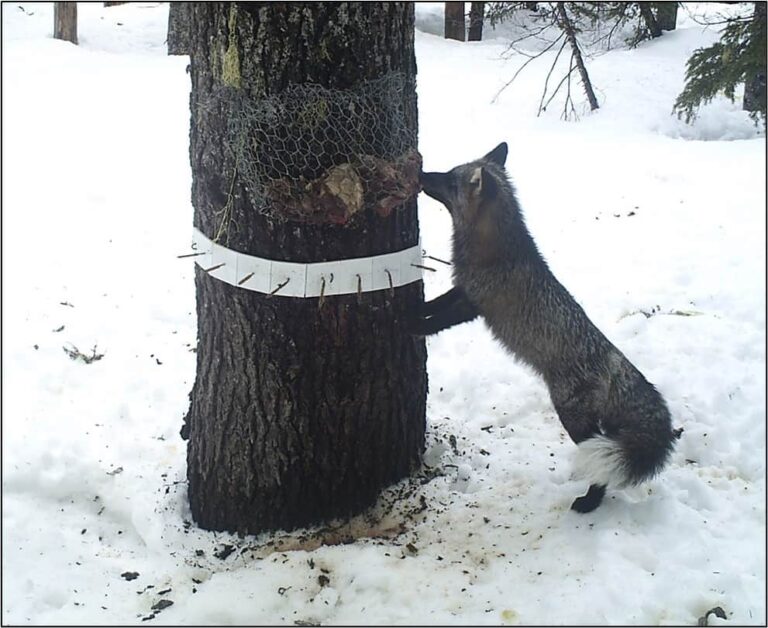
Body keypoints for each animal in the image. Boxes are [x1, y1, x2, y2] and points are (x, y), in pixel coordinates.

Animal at [413, 142, 679, 513]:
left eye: (450, 181)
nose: (421, 173)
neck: (496, 251)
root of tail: (614, 359)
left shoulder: (475, 305)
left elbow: (438, 320)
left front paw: (410, 324)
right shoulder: (465, 289)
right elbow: (434, 305)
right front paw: (410, 307)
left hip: (574, 420)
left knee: (596, 464)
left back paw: (590, 501)